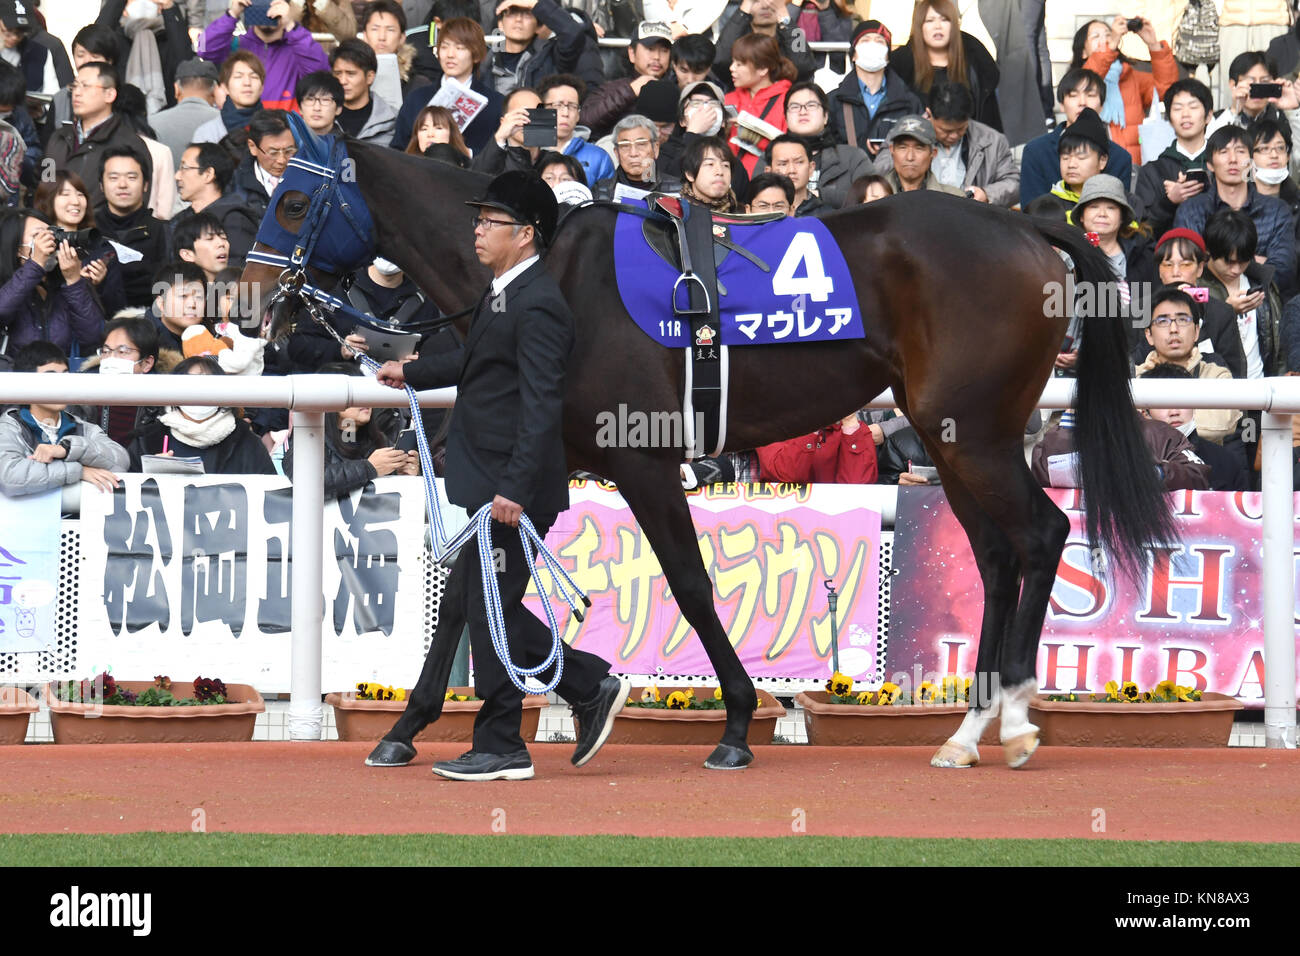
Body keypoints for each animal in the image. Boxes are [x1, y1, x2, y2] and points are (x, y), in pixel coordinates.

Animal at [240, 134, 1174, 771]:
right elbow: (475, 590)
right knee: (994, 555)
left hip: (974, 433)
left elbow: (688, 585)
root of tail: (1030, 234)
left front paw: (732, 722)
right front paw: (407, 728)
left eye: (290, 203)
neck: (555, 273)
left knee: (1042, 535)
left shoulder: (642, 459)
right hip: (951, 437)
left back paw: (1013, 720)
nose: (248, 307)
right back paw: (969, 729)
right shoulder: (541, 462)